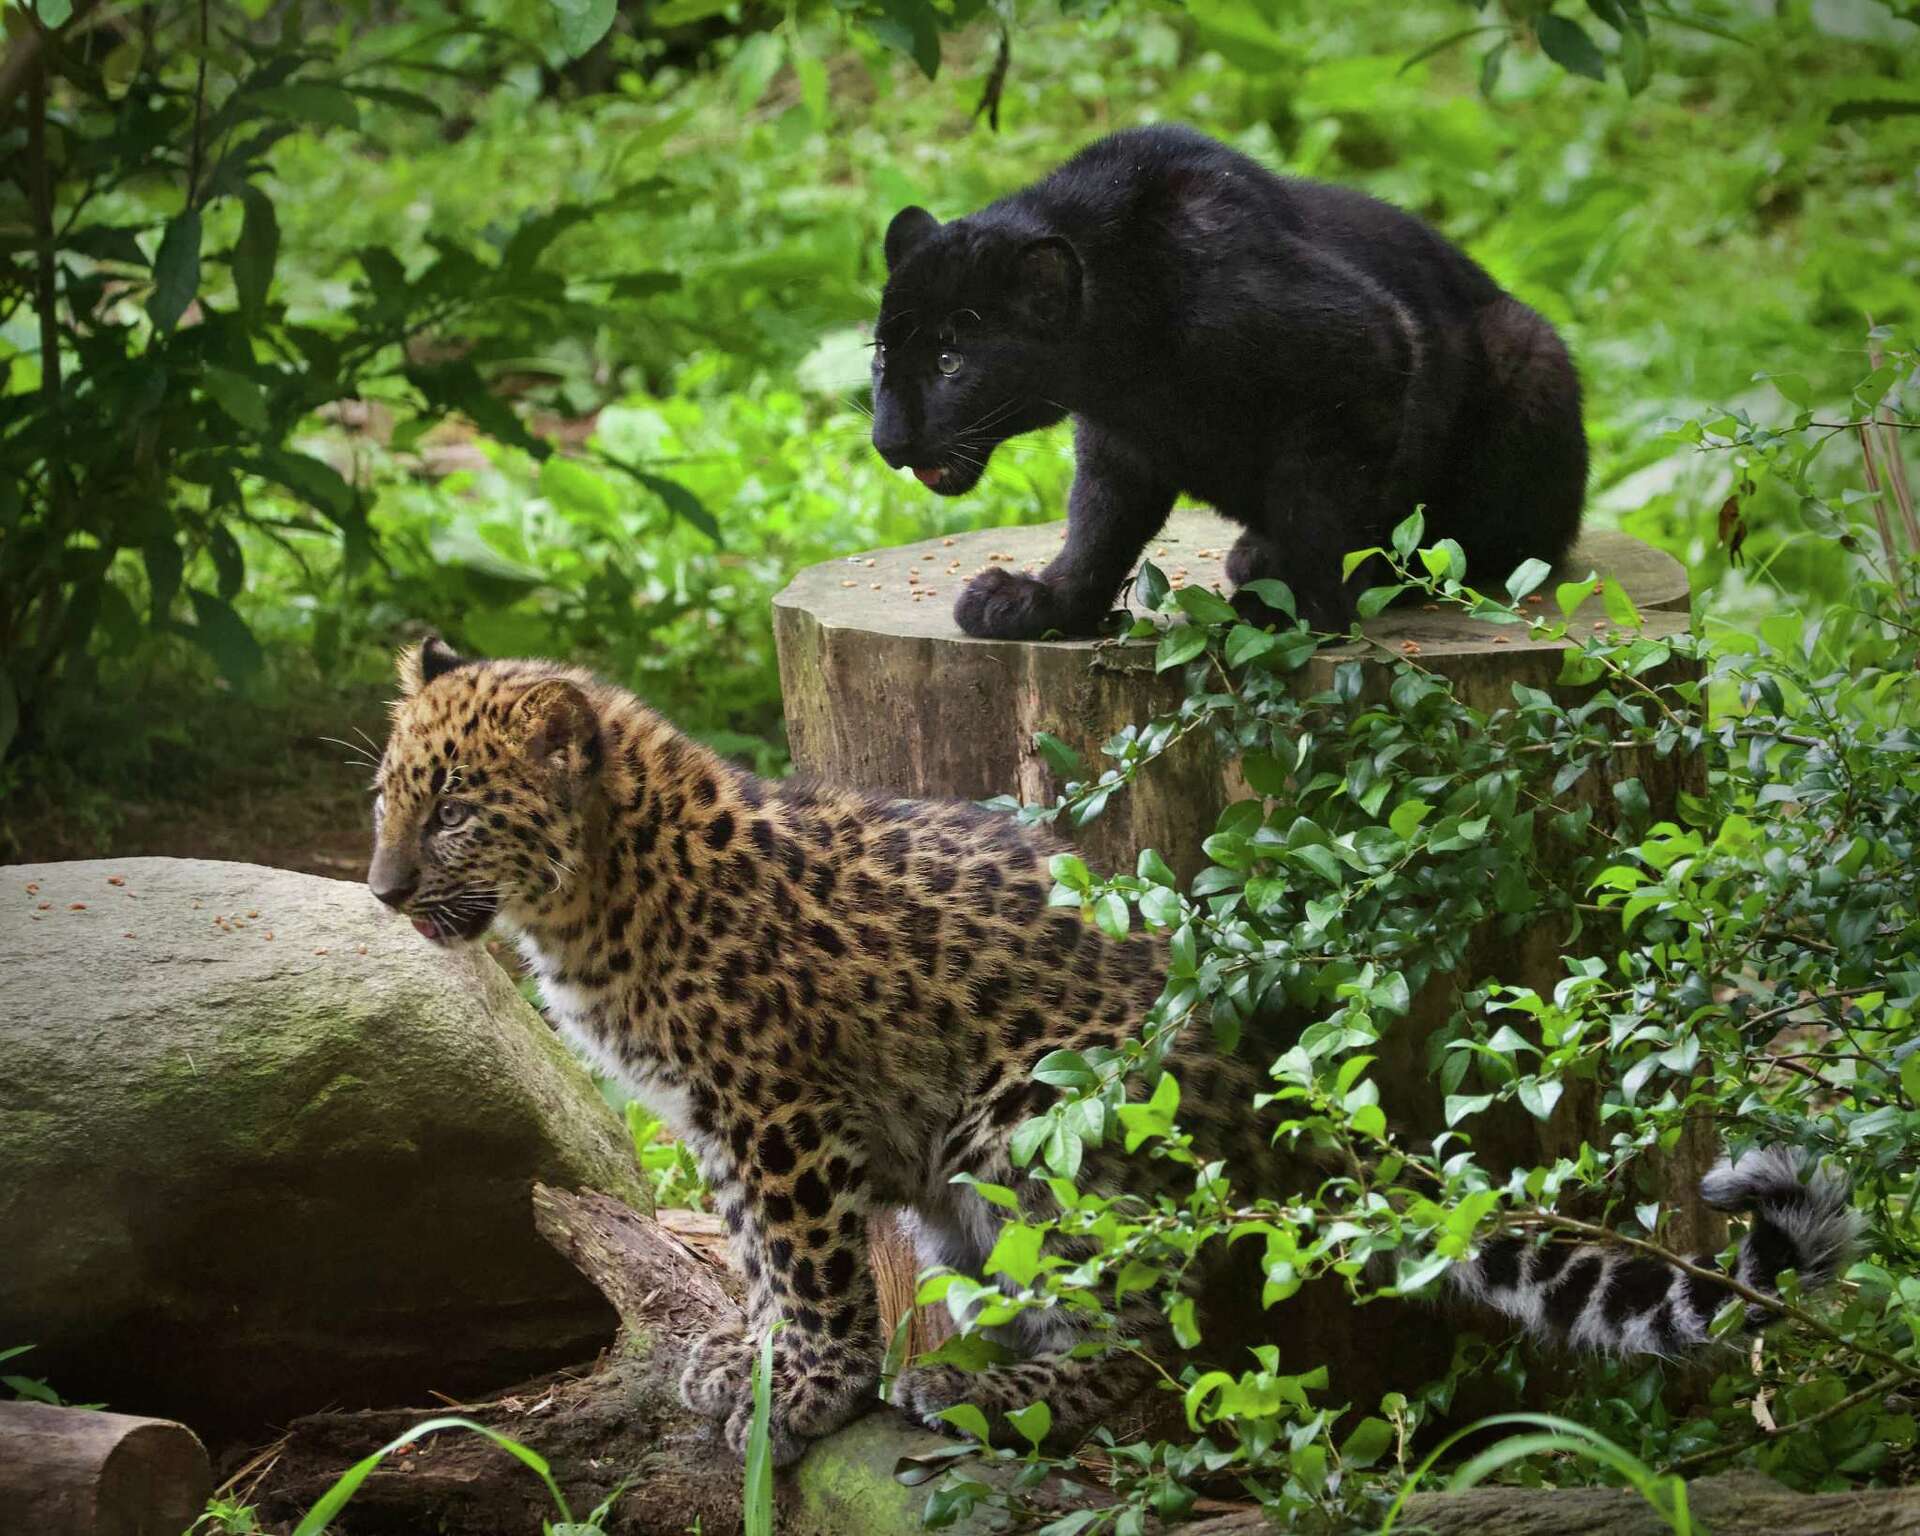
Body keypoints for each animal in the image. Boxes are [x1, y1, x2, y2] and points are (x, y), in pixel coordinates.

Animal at [366, 636, 1862, 1467]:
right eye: (385, 799)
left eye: (454, 815)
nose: (379, 891)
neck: (587, 898)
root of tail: (1263, 1097)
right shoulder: (719, 1122)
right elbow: (753, 1255)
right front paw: (751, 1351)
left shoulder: (777, 1109)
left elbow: (811, 1266)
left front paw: (810, 1391)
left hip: (1032, 1120)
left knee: (1157, 1344)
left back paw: (973, 1391)